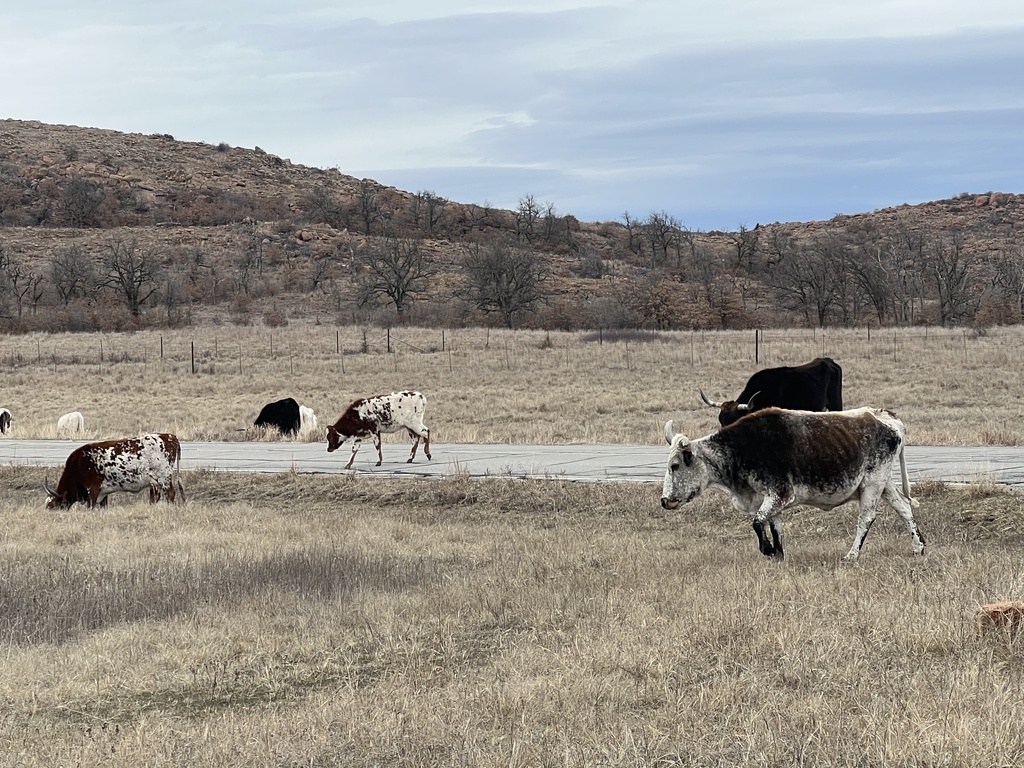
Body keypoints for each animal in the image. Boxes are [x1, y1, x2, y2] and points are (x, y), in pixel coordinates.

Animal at [44, 433, 184, 509]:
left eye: (52, 506)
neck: (79, 463)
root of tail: (170, 436)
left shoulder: (92, 490)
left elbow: (90, 507)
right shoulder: (103, 492)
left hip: (164, 477)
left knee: (170, 494)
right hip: (154, 482)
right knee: (155, 497)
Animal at [660, 407, 925, 561]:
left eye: (675, 465)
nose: (664, 501)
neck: (742, 447)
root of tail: (885, 416)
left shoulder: (780, 493)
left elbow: (757, 522)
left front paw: (767, 549)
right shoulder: (770, 498)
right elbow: (773, 525)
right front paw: (778, 552)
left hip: (872, 484)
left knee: (867, 518)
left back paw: (852, 554)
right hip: (884, 484)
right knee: (904, 508)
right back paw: (918, 546)